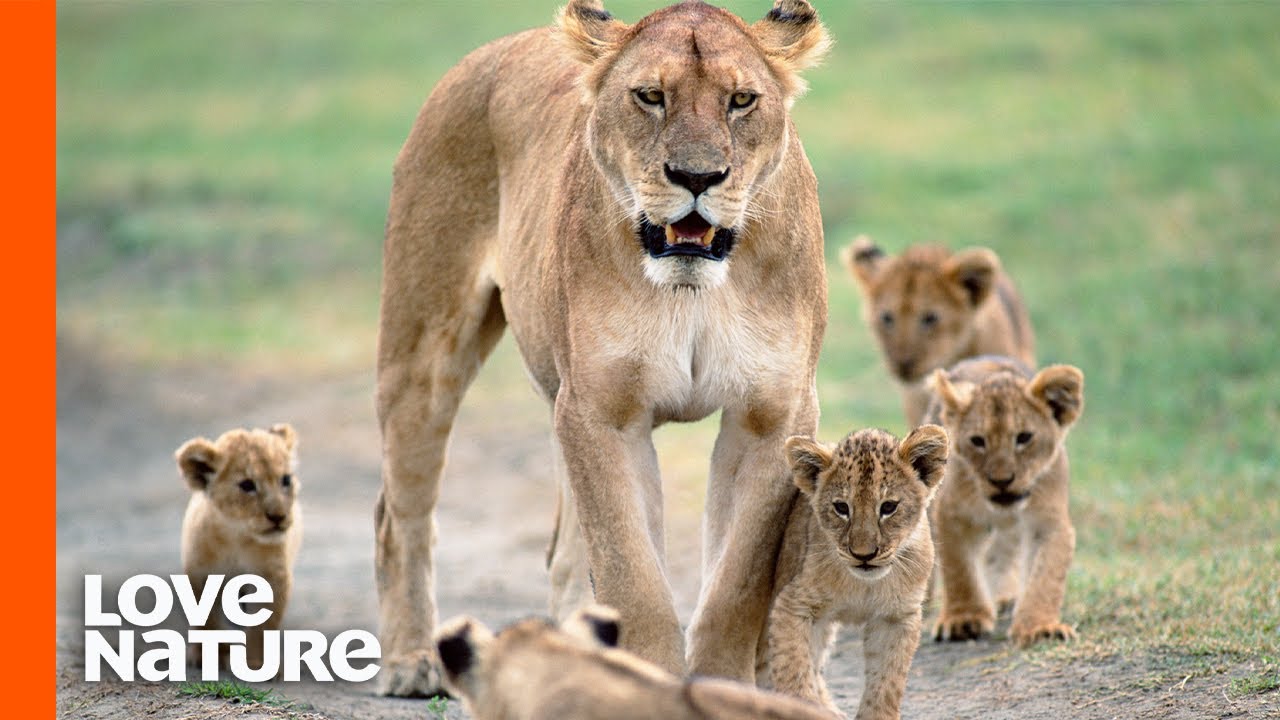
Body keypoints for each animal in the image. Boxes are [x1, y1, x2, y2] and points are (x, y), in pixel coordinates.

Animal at [176, 423, 301, 663]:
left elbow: (262, 626)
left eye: (285, 480)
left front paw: (256, 663)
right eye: (247, 485)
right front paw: (208, 654)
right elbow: (206, 620)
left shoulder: (273, 576)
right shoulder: (199, 572)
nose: (278, 516)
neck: (237, 536)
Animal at [374, 0, 831, 695]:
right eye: (650, 96)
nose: (696, 177)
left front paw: (723, 684)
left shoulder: (772, 415)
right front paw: (645, 678)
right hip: (423, 354)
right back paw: (409, 662)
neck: (692, 290)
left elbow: (737, 581)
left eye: (741, 100)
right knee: (400, 515)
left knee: (563, 551)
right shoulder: (601, 411)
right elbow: (631, 574)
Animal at [765, 426, 948, 719]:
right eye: (841, 507)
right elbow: (793, 668)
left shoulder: (897, 617)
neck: (864, 585)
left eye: (888, 507)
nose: (863, 555)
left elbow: (887, 681)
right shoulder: (792, 604)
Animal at [924, 356, 1083, 647]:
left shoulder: (1048, 522)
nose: (1002, 480)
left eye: (1024, 437)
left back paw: (1005, 598)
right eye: (978, 441)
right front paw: (964, 620)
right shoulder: (952, 516)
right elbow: (960, 570)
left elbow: (1045, 577)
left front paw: (1040, 627)